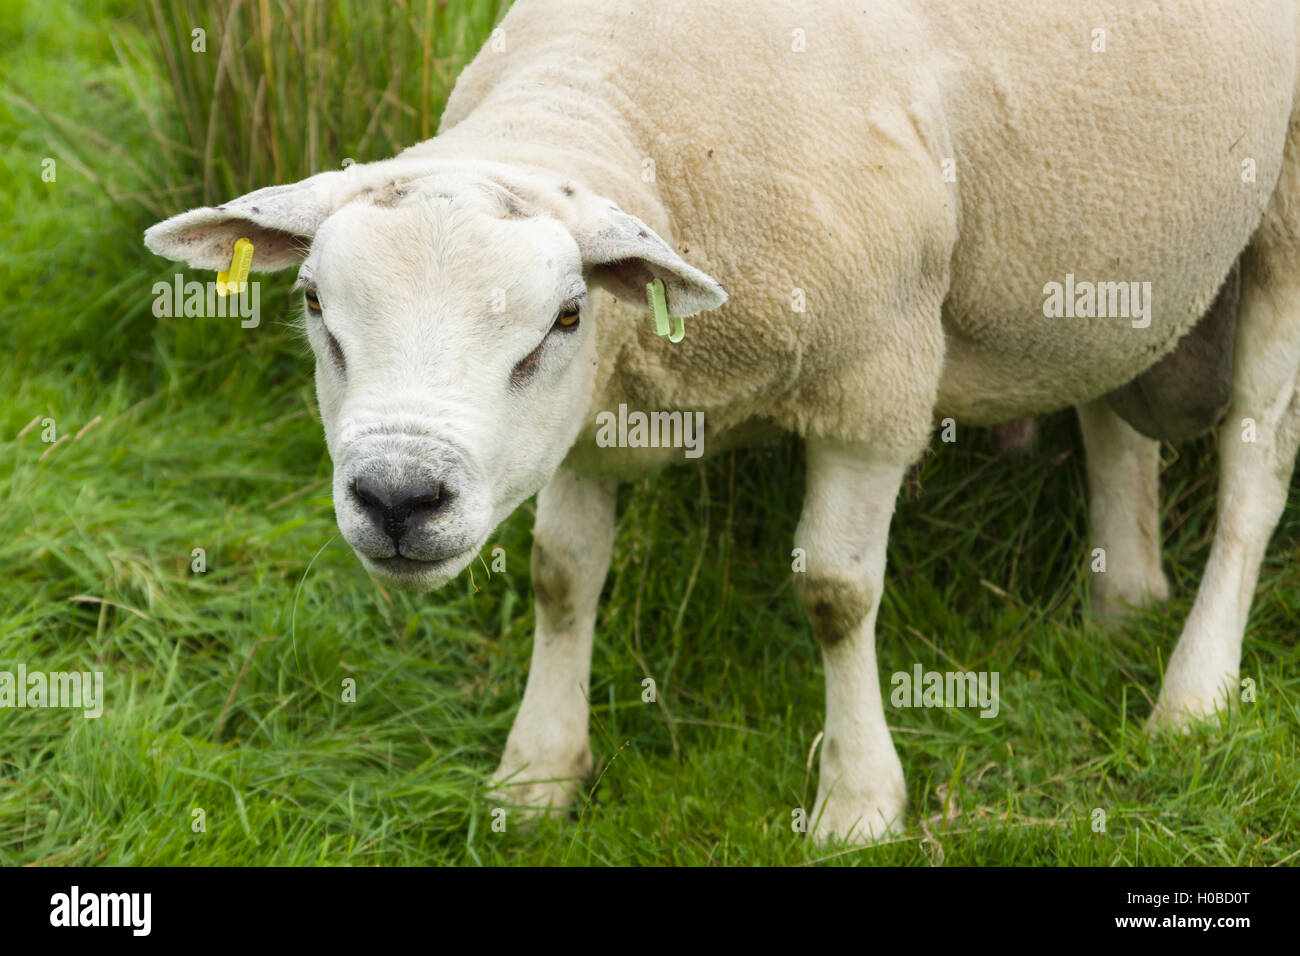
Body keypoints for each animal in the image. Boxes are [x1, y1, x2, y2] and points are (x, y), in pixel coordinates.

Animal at [145, 0, 1300, 844]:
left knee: (1255, 462)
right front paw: (537, 772)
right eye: (313, 305)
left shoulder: (876, 378)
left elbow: (835, 593)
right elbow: (561, 575)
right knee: (1115, 400)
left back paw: (1191, 693)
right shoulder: (595, 412)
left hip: (1283, 207)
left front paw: (858, 802)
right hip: (1110, 253)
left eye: (562, 319)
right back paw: (1122, 600)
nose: (397, 497)